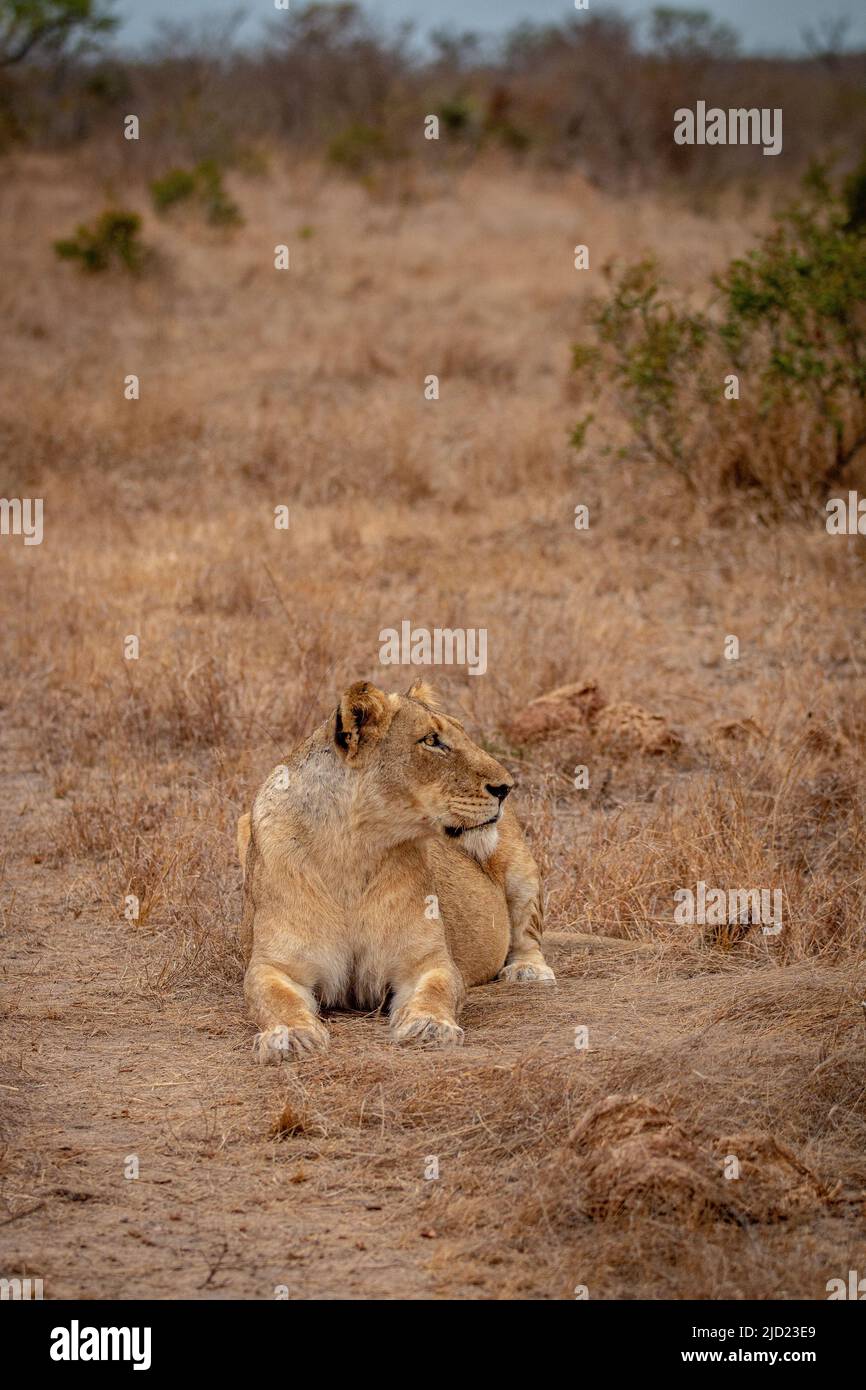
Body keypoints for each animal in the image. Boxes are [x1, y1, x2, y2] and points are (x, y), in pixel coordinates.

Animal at [237, 679, 555, 1062]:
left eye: (462, 733)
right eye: (431, 740)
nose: (506, 788)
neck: (353, 851)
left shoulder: (428, 960)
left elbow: (436, 990)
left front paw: (430, 1026)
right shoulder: (275, 964)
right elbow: (276, 999)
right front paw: (291, 1037)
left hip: (520, 866)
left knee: (527, 933)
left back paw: (528, 970)